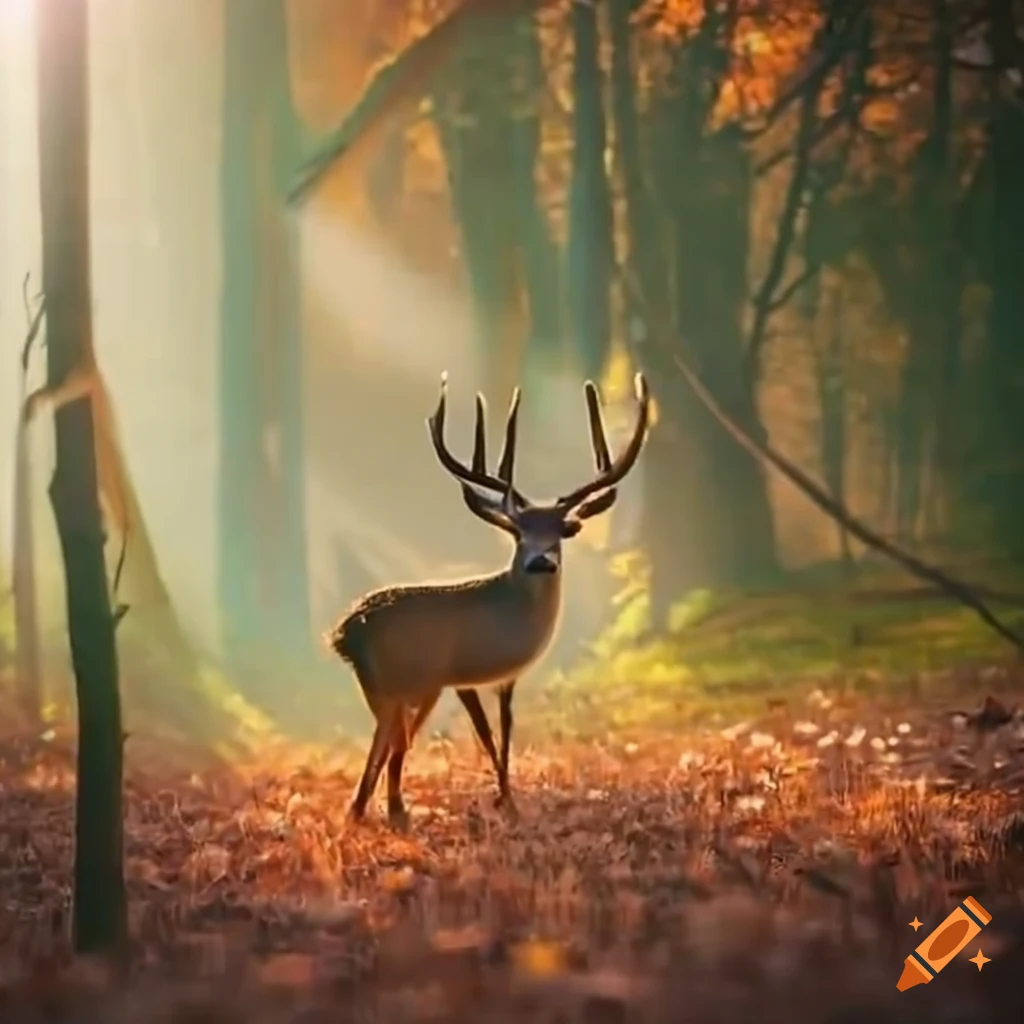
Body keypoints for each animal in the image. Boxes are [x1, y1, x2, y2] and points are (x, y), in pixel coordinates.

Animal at [326, 370, 650, 828]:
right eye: (519, 533)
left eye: (561, 532)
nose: (541, 561)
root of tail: (345, 631)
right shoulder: (459, 674)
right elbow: (484, 734)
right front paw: (505, 802)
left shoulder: (502, 678)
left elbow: (505, 731)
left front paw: (507, 799)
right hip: (406, 677)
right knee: (392, 745)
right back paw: (390, 811)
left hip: (398, 685)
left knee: (388, 744)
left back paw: (370, 810)